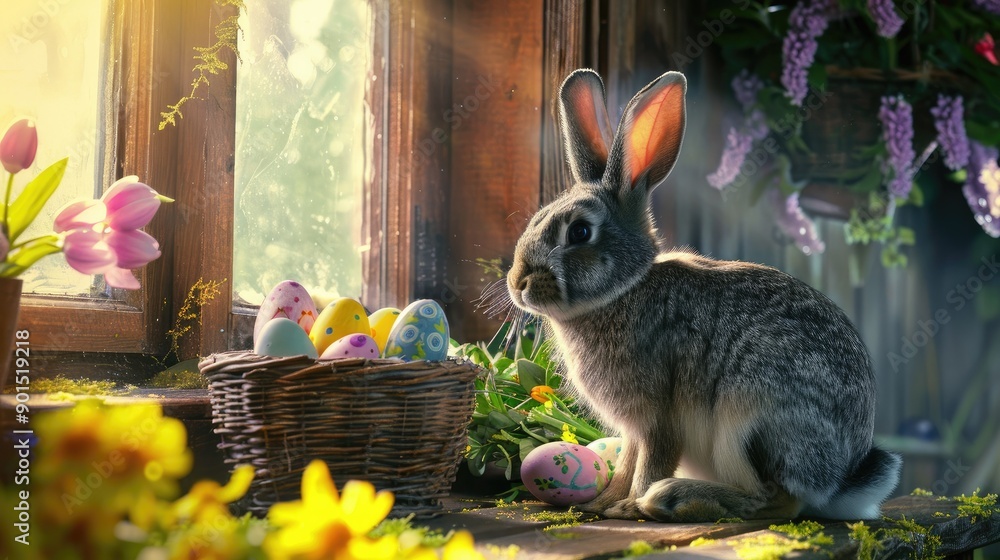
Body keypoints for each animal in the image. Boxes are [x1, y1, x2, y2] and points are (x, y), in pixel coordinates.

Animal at [505, 69, 901, 522]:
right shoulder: (633, 429)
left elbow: (651, 461)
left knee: (774, 501)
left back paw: (672, 498)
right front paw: (602, 503)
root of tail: (838, 482)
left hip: (751, 415)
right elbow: (627, 463)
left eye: (580, 232)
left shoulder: (659, 417)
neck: (626, 289)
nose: (517, 283)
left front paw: (628, 507)